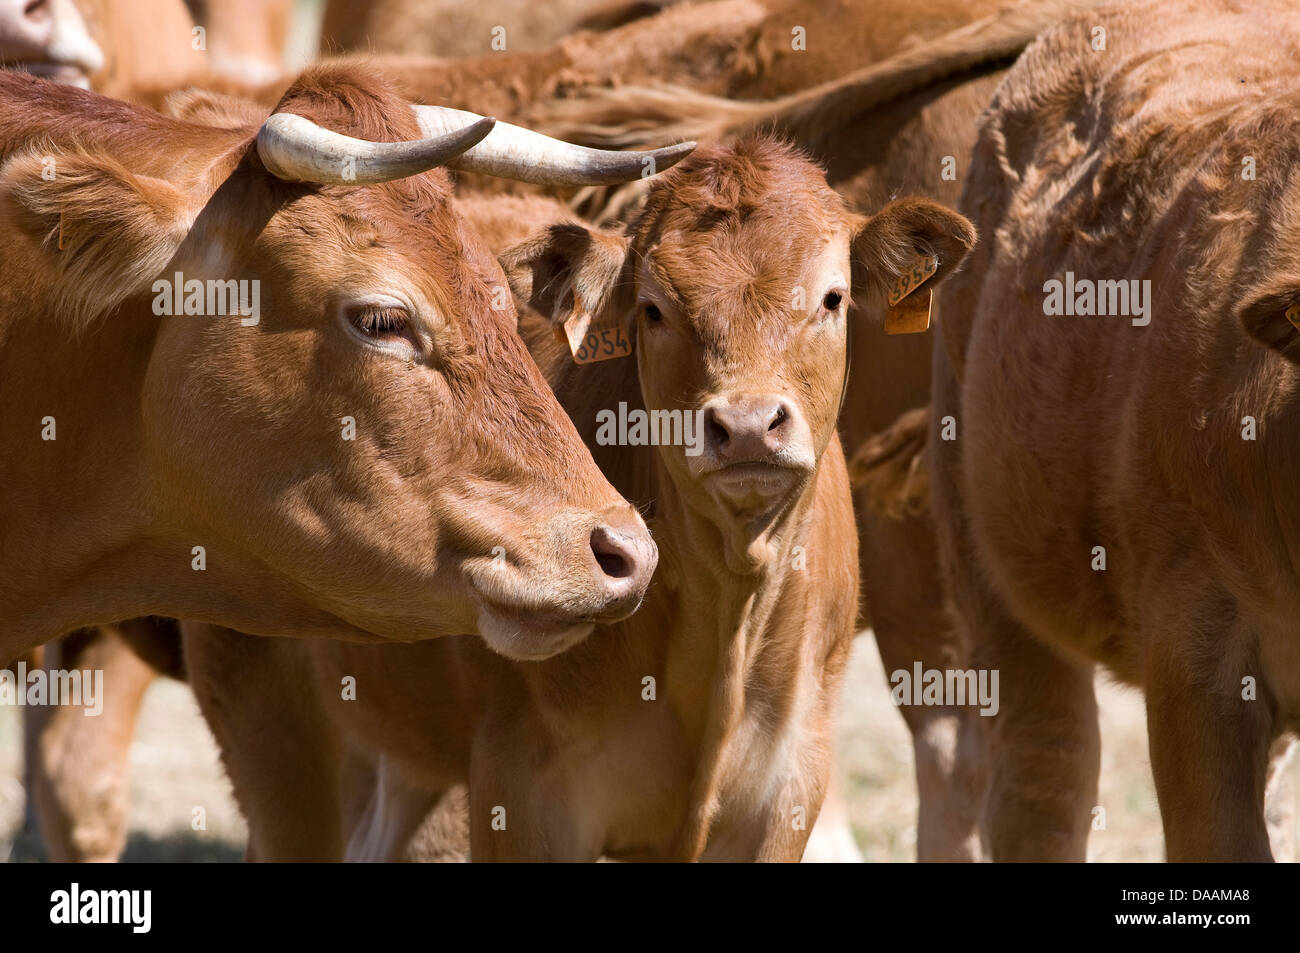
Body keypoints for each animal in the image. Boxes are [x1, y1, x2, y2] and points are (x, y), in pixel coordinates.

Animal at [180, 137, 976, 862]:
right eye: (653, 309)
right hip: (265, 713)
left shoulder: (787, 790)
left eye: (832, 297)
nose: (748, 425)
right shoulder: (526, 788)